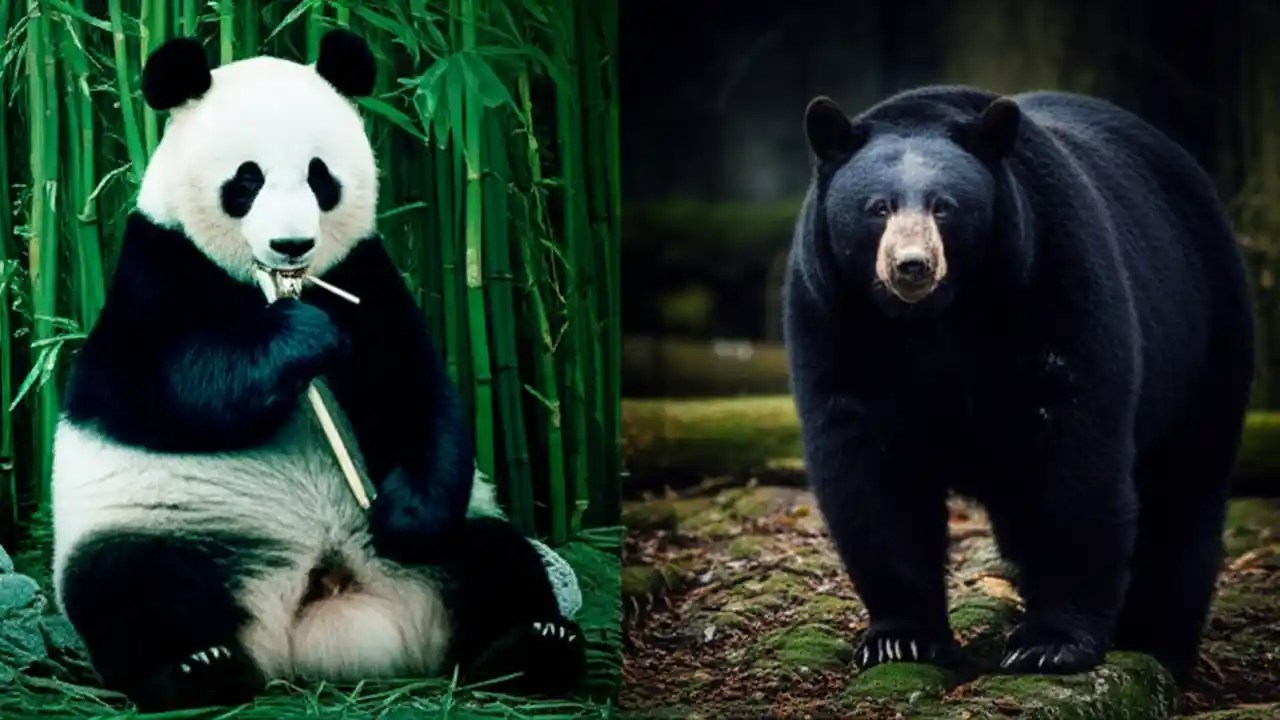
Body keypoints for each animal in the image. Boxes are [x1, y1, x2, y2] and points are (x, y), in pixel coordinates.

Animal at [50, 30, 586, 712]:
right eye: (246, 179)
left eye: (319, 176)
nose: (291, 246)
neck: (281, 285)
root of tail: (318, 616)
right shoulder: (154, 268)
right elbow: (152, 387)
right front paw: (302, 338)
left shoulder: (366, 273)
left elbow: (414, 391)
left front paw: (405, 518)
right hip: (170, 525)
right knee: (132, 588)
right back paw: (196, 669)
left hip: (462, 539)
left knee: (497, 561)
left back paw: (532, 646)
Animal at [782, 85, 1254, 681]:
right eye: (878, 207)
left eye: (944, 206)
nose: (912, 267)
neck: (936, 317)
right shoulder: (835, 317)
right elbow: (869, 469)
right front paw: (900, 637)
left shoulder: (1053, 278)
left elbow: (1074, 452)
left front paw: (1051, 643)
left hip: (1207, 326)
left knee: (1185, 484)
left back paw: (1157, 636)